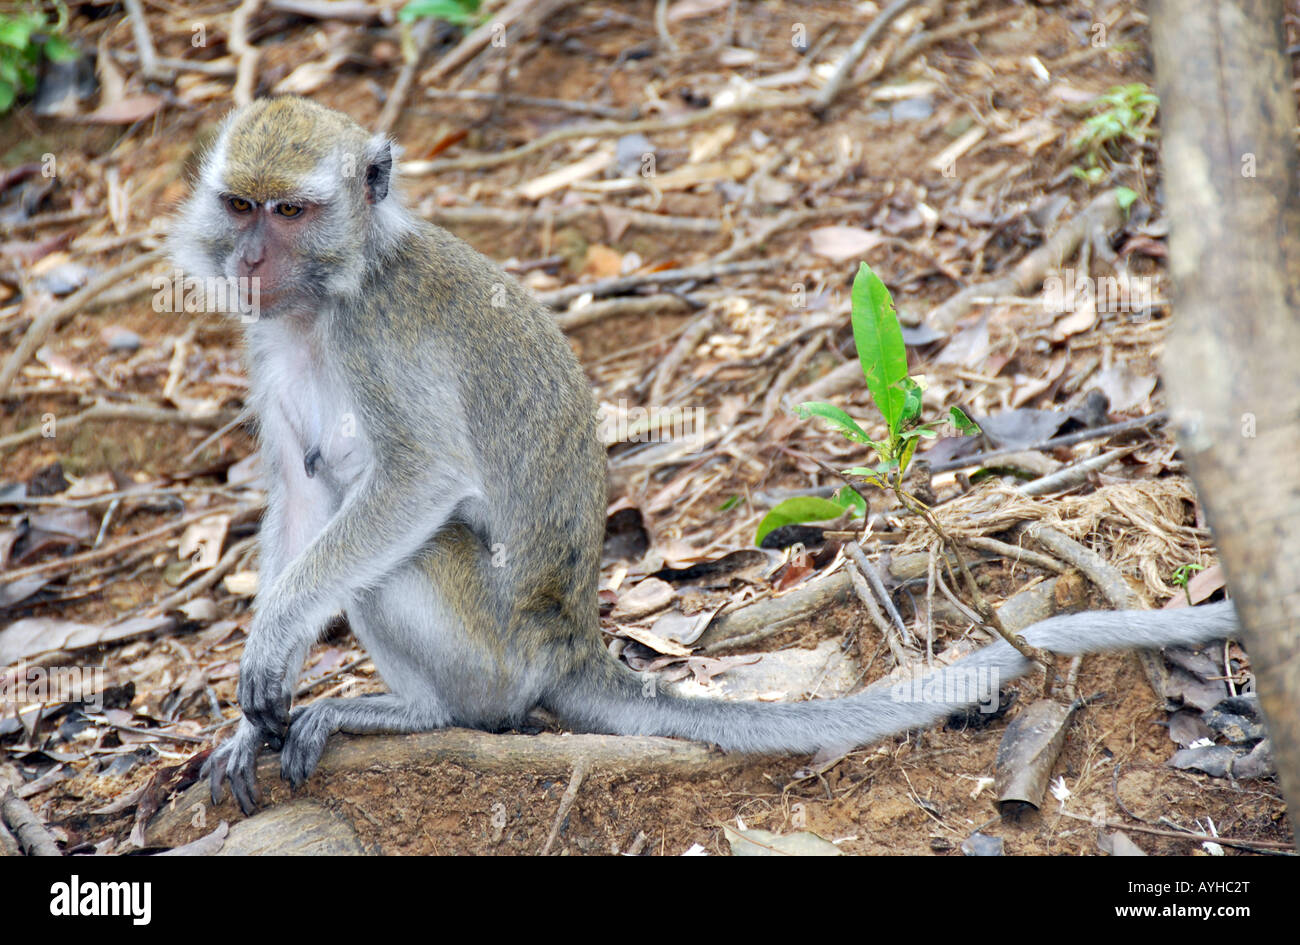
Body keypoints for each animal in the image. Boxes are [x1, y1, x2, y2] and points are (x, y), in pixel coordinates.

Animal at [167, 96, 1243, 815]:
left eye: (293, 213)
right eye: (242, 206)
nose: (252, 262)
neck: (327, 300)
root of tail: (571, 638)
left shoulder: (376, 340)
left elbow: (416, 479)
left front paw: (278, 638)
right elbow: (298, 497)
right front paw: (247, 712)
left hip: (495, 646)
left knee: (423, 566)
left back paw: (428, 714)